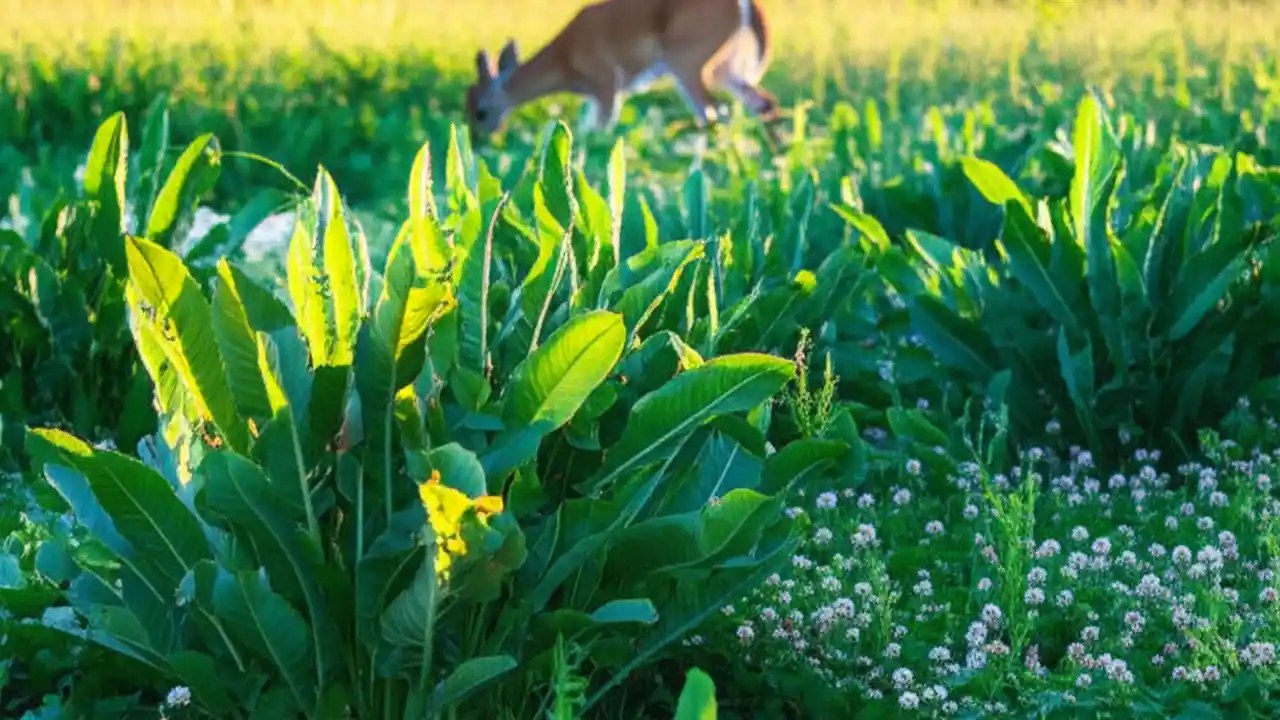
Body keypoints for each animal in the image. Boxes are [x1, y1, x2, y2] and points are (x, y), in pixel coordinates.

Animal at [464, 0, 779, 141]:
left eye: (481, 112)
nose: (478, 142)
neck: (565, 61)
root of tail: (747, 5)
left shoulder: (606, 82)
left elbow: (600, 130)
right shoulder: (596, 94)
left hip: (686, 60)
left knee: (713, 112)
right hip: (724, 66)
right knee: (761, 102)